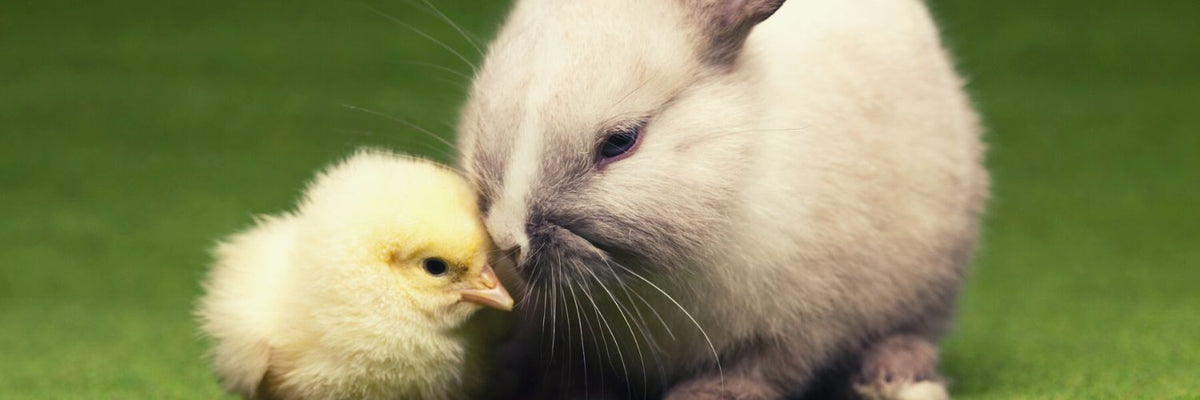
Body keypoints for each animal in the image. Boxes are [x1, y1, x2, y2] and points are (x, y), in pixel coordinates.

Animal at [455, 0, 987, 399]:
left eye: (621, 142)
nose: (508, 238)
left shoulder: (798, 325)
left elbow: (756, 370)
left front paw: (703, 396)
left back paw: (891, 371)